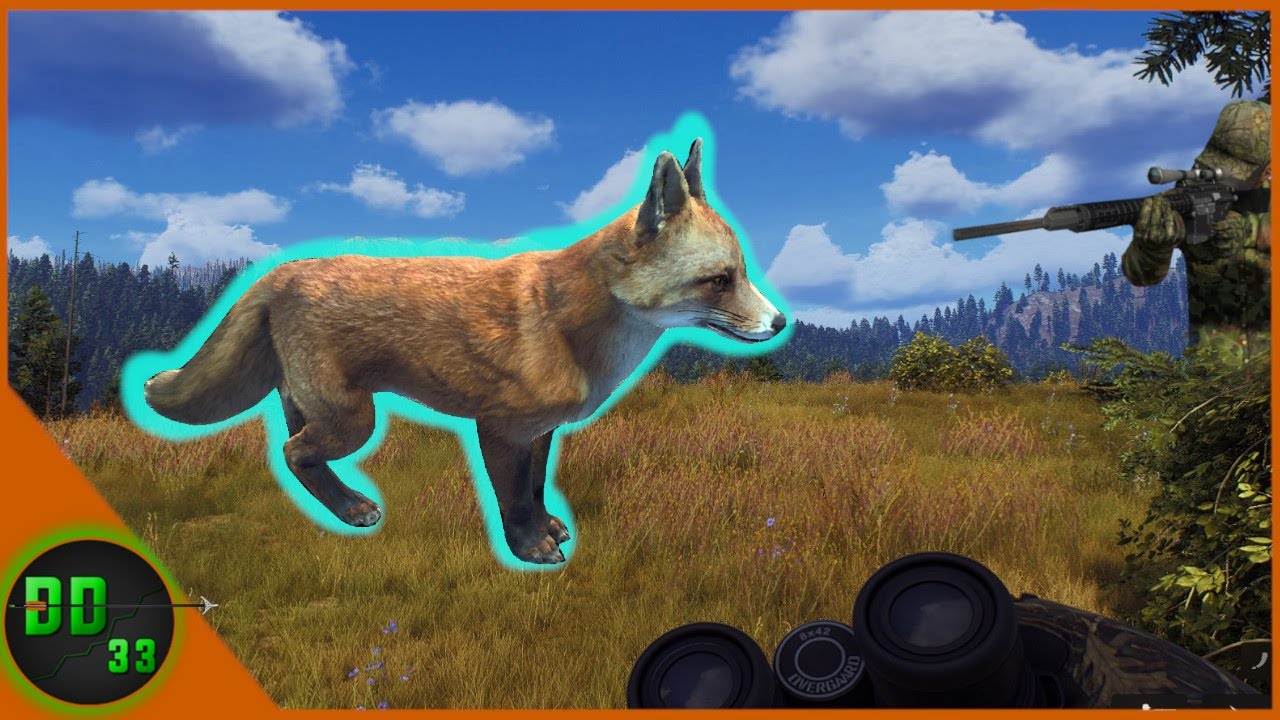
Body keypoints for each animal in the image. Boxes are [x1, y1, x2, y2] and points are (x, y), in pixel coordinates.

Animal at [142, 138, 786, 564]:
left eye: (741, 272)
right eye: (720, 280)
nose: (780, 322)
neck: (575, 329)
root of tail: (282, 271)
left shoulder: (540, 432)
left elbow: (534, 488)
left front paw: (551, 527)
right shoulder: (498, 427)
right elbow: (513, 501)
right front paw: (529, 548)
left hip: (318, 404)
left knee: (293, 441)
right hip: (353, 418)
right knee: (292, 453)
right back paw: (350, 509)